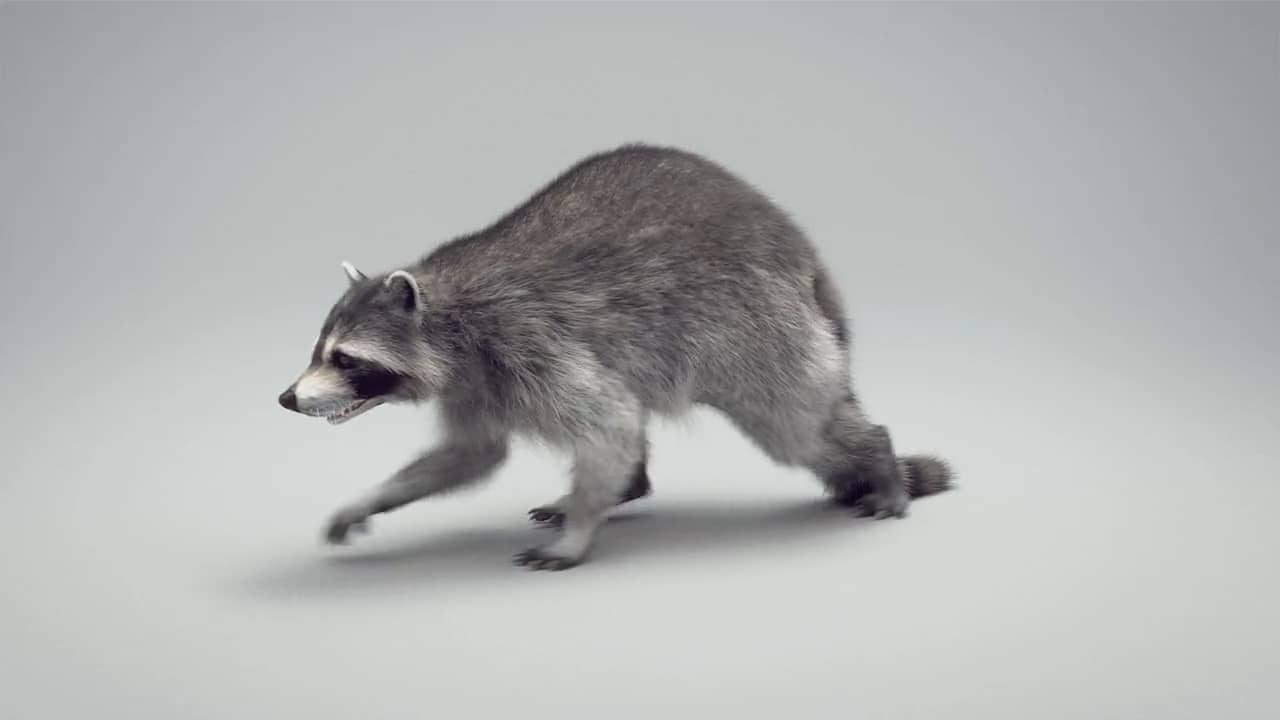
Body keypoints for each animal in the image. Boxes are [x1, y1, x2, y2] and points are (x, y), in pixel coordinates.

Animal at [278, 143, 952, 570]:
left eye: (345, 360)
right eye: (318, 350)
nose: (286, 398)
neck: (449, 312)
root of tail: (810, 262)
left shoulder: (527, 340)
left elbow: (608, 424)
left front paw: (579, 534)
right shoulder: (477, 379)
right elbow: (470, 455)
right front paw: (369, 499)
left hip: (762, 330)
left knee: (799, 428)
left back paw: (880, 459)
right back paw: (626, 486)